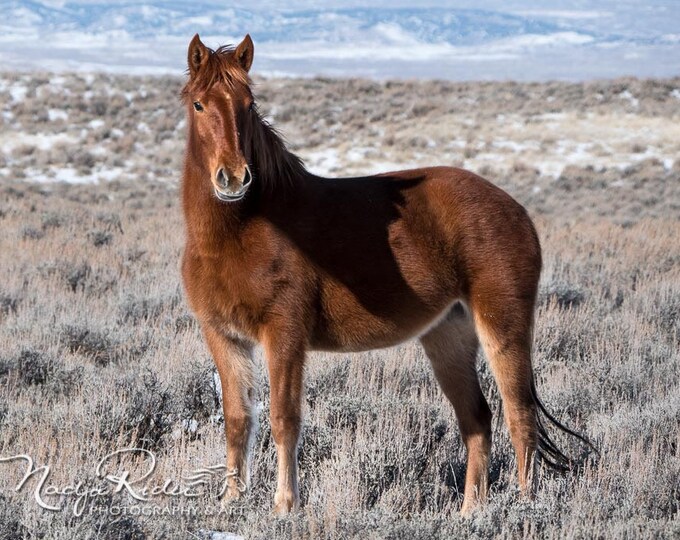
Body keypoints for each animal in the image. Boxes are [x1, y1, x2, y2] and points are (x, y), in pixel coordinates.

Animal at [179, 33, 592, 516]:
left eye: (248, 104)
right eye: (199, 105)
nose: (233, 178)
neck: (240, 231)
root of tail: (517, 210)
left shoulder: (283, 334)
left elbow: (284, 418)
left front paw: (284, 506)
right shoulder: (223, 337)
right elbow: (238, 419)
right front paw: (231, 501)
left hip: (503, 327)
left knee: (519, 415)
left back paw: (522, 508)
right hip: (449, 337)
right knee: (477, 419)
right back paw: (470, 513)